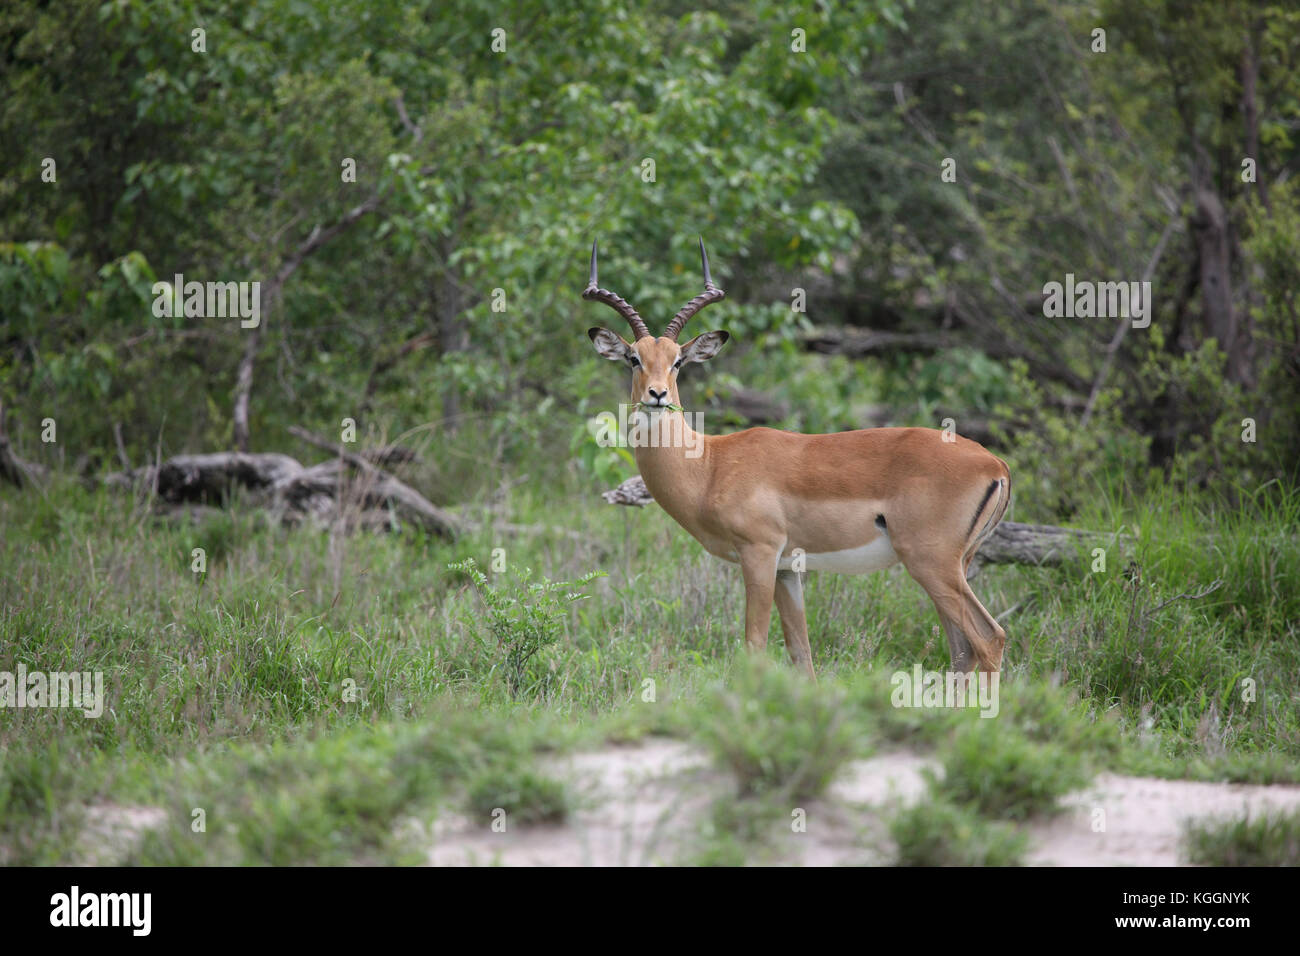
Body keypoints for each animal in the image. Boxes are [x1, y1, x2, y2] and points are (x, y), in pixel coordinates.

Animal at [584, 240, 1012, 679]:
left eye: (678, 361)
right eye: (633, 358)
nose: (657, 395)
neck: (711, 465)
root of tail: (996, 466)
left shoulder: (759, 554)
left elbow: (754, 644)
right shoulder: (788, 569)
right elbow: (801, 652)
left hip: (932, 563)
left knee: (989, 638)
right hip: (956, 565)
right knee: (962, 650)